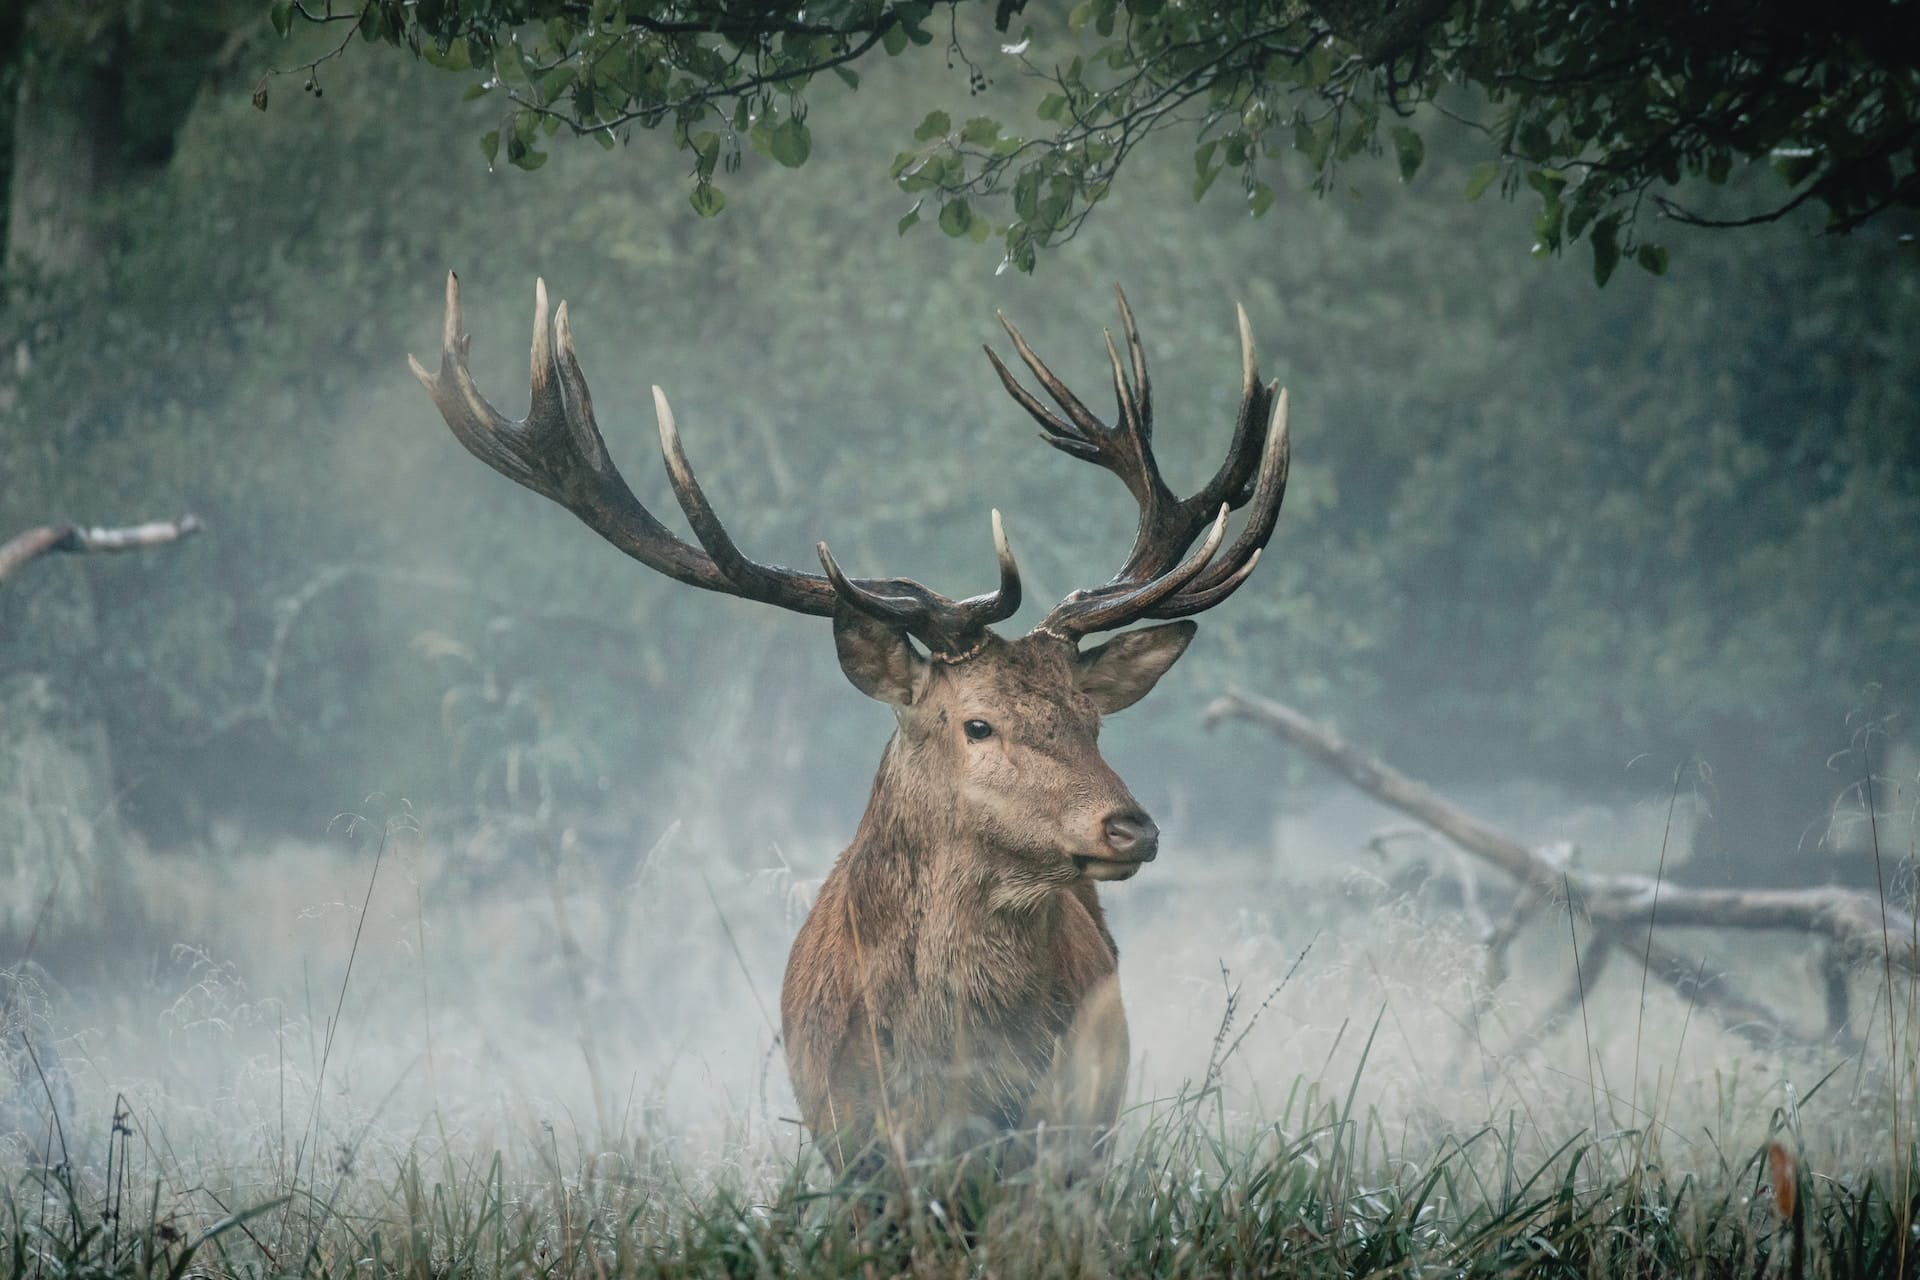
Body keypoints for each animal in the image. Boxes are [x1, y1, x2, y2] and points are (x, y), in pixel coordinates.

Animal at [409, 274, 1289, 1183]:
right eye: (977, 723)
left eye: (1093, 722)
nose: (1131, 827)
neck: (956, 1089)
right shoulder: (854, 1148)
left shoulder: (1061, 1150)